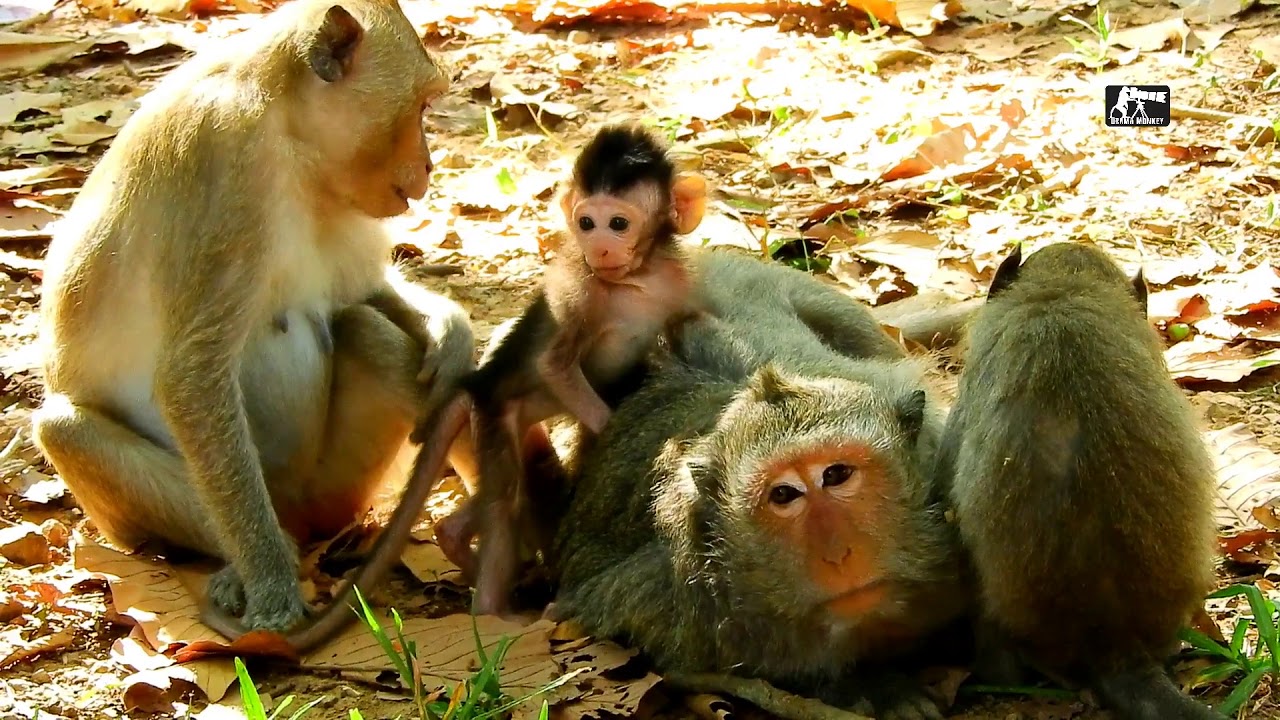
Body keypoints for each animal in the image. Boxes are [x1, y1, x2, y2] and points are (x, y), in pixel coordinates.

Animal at [30, 0, 476, 652]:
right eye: (420, 105)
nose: (428, 164)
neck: (284, 131)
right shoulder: (224, 171)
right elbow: (192, 376)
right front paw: (272, 592)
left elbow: (358, 291)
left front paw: (449, 329)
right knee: (67, 430)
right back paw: (261, 564)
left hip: (338, 488)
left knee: (361, 330)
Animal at [424, 124, 709, 617]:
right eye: (586, 223)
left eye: (618, 224)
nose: (598, 245)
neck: (635, 281)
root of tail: (481, 379)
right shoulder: (575, 290)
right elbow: (554, 364)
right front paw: (614, 429)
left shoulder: (679, 280)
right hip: (494, 415)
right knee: (505, 501)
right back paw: (493, 612)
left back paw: (455, 537)